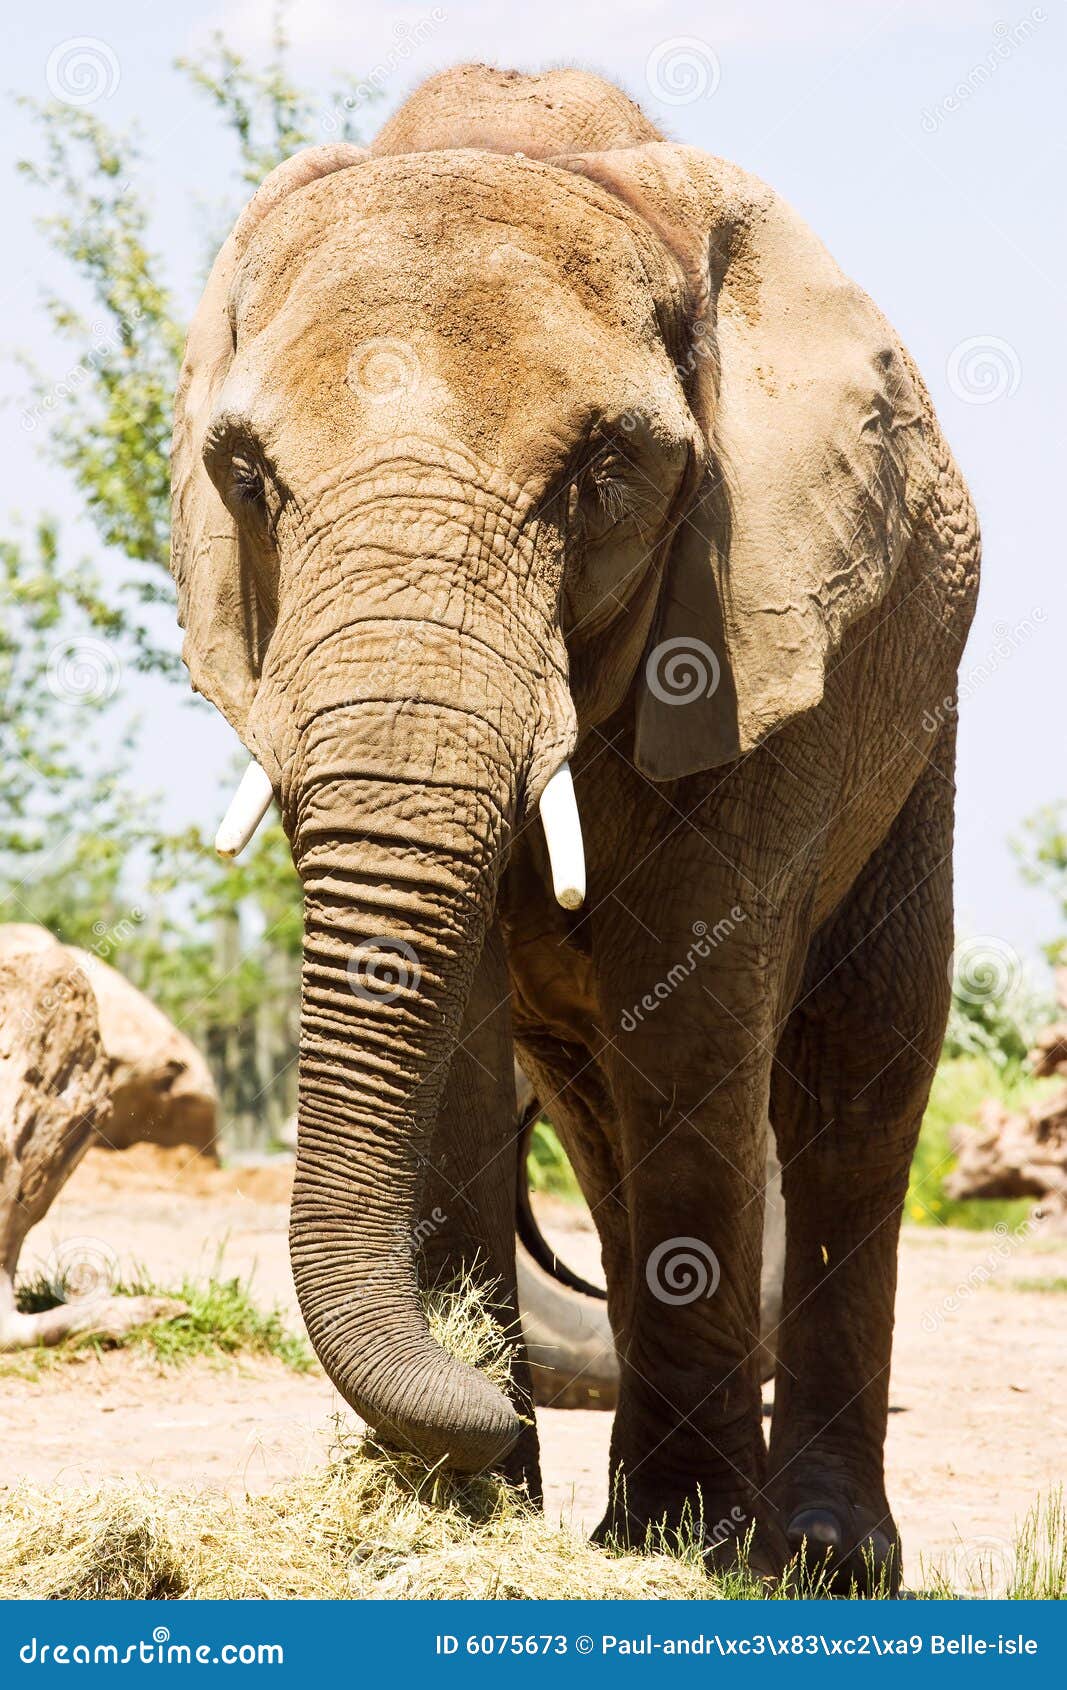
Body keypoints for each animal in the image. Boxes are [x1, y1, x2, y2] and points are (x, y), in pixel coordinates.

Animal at [170, 64, 979, 1589]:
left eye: (602, 470)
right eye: (246, 479)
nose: (479, 1403)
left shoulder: (753, 612)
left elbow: (694, 987)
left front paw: (684, 1537)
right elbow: (467, 1026)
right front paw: (469, 1506)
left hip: (916, 717)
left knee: (849, 1078)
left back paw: (820, 1554)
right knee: (599, 1104)